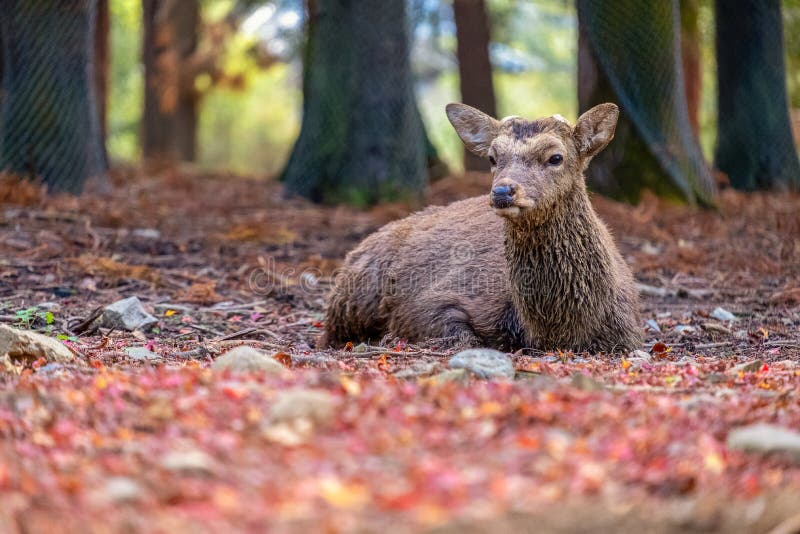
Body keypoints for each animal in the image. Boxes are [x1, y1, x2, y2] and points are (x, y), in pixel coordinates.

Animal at [322, 103, 642, 354]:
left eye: (556, 157)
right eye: (492, 157)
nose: (502, 191)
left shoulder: (629, 335)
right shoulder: (428, 301)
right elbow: (463, 337)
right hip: (354, 296)